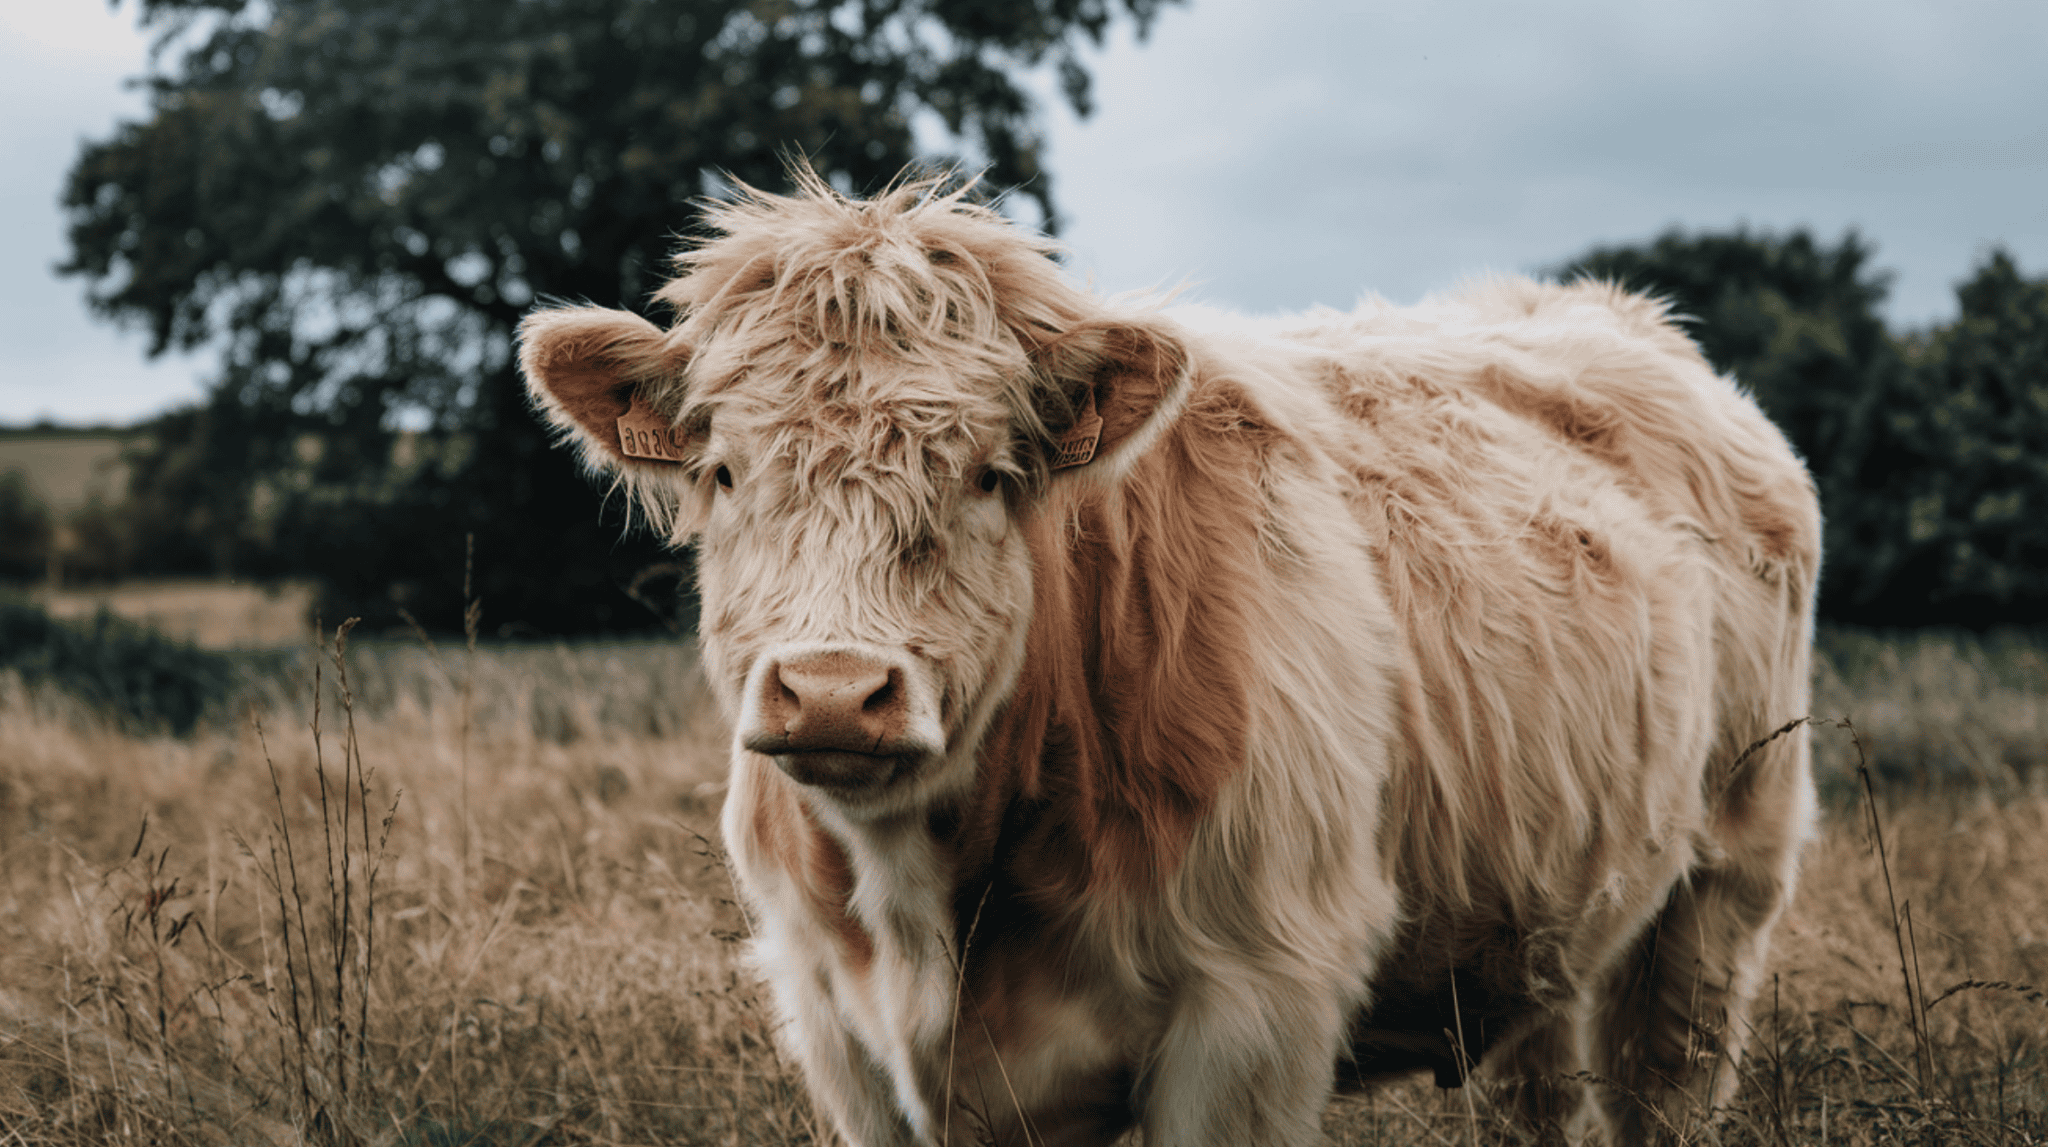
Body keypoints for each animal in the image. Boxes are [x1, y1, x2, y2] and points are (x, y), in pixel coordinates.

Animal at [518, 168, 1820, 1146]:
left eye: (988, 475)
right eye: (725, 471)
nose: (834, 692)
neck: (926, 910)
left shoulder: (1252, 1014)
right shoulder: (846, 1038)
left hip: (1719, 889)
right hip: (1541, 924)